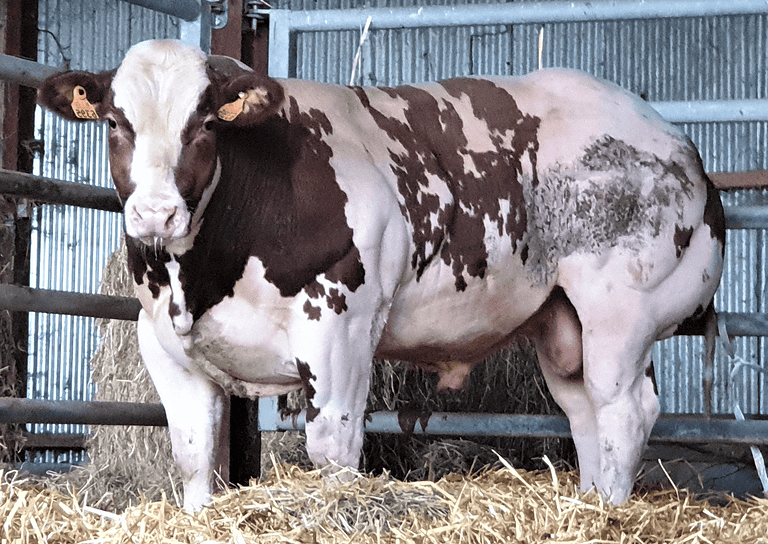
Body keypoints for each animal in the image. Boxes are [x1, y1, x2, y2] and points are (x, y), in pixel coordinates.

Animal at [39, 39, 724, 511]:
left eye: (205, 123)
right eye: (114, 123)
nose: (155, 213)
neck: (206, 273)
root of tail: (678, 144)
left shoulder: (339, 326)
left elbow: (332, 449)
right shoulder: (162, 341)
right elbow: (192, 453)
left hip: (621, 312)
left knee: (624, 409)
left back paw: (609, 510)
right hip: (563, 324)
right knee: (585, 411)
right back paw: (586, 502)